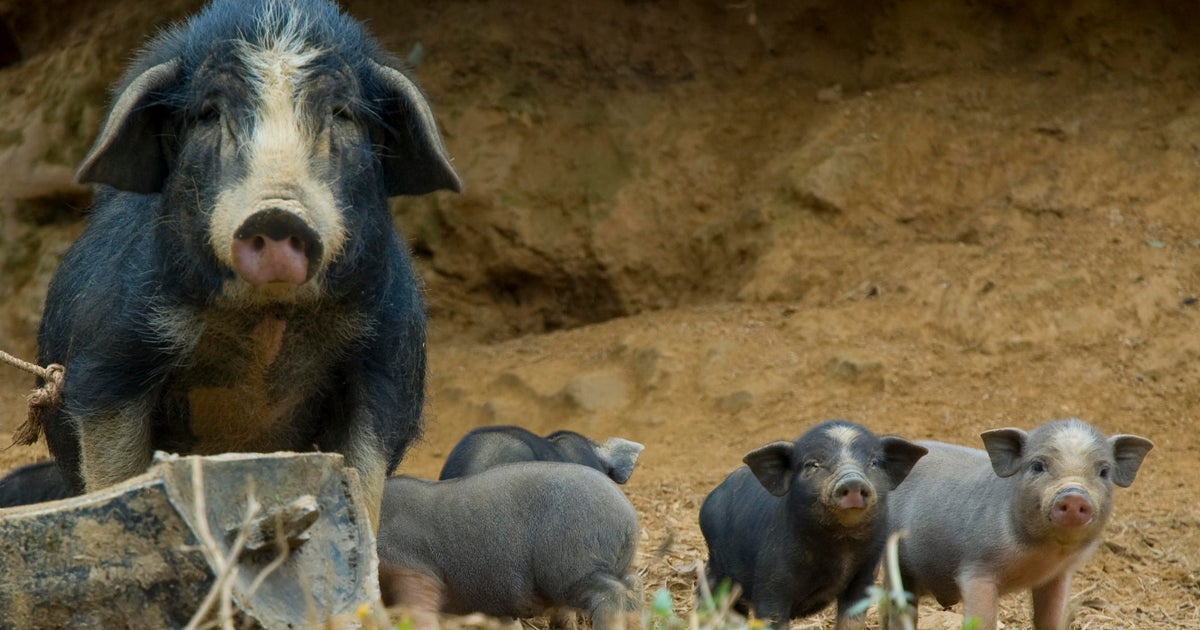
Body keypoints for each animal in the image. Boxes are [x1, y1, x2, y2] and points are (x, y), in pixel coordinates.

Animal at [31, 0, 460, 524]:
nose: (276, 214)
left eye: (341, 113)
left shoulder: (388, 358)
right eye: (209, 113)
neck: (265, 322)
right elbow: (115, 468)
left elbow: (365, 476)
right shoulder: (110, 357)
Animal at [376, 462, 642, 630]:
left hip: (572, 565)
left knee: (611, 595)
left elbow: (419, 605)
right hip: (610, 566)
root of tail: (627, 516)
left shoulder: (412, 567)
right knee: (632, 587)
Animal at [699, 420, 928, 630]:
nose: (853, 481)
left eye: (873, 462)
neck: (841, 546)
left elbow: (851, 619)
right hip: (717, 567)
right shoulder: (770, 581)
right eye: (812, 464)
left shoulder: (865, 575)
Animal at [883, 418, 1153, 630]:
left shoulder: (1057, 576)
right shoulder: (977, 568)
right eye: (1037, 466)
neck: (1041, 554)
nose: (1073, 496)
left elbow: (1049, 620)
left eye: (1104, 472)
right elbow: (983, 621)